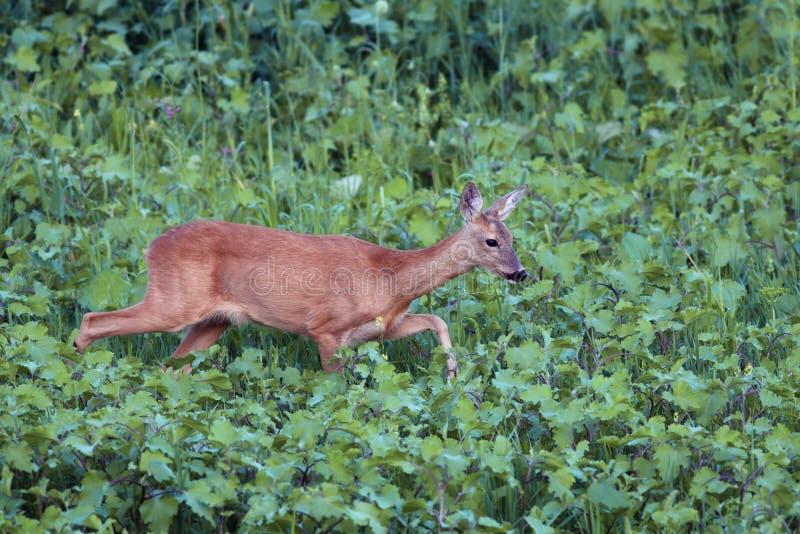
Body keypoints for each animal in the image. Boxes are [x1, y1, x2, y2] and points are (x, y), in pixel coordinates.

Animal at [74, 182, 528, 377]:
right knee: (94, 319)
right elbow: (335, 387)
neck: (389, 277)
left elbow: (437, 321)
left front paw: (452, 374)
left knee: (172, 367)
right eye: (491, 241)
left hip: (212, 321)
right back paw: (74, 362)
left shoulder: (382, 328)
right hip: (174, 302)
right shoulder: (325, 328)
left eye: (512, 238)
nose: (520, 272)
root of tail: (152, 246)